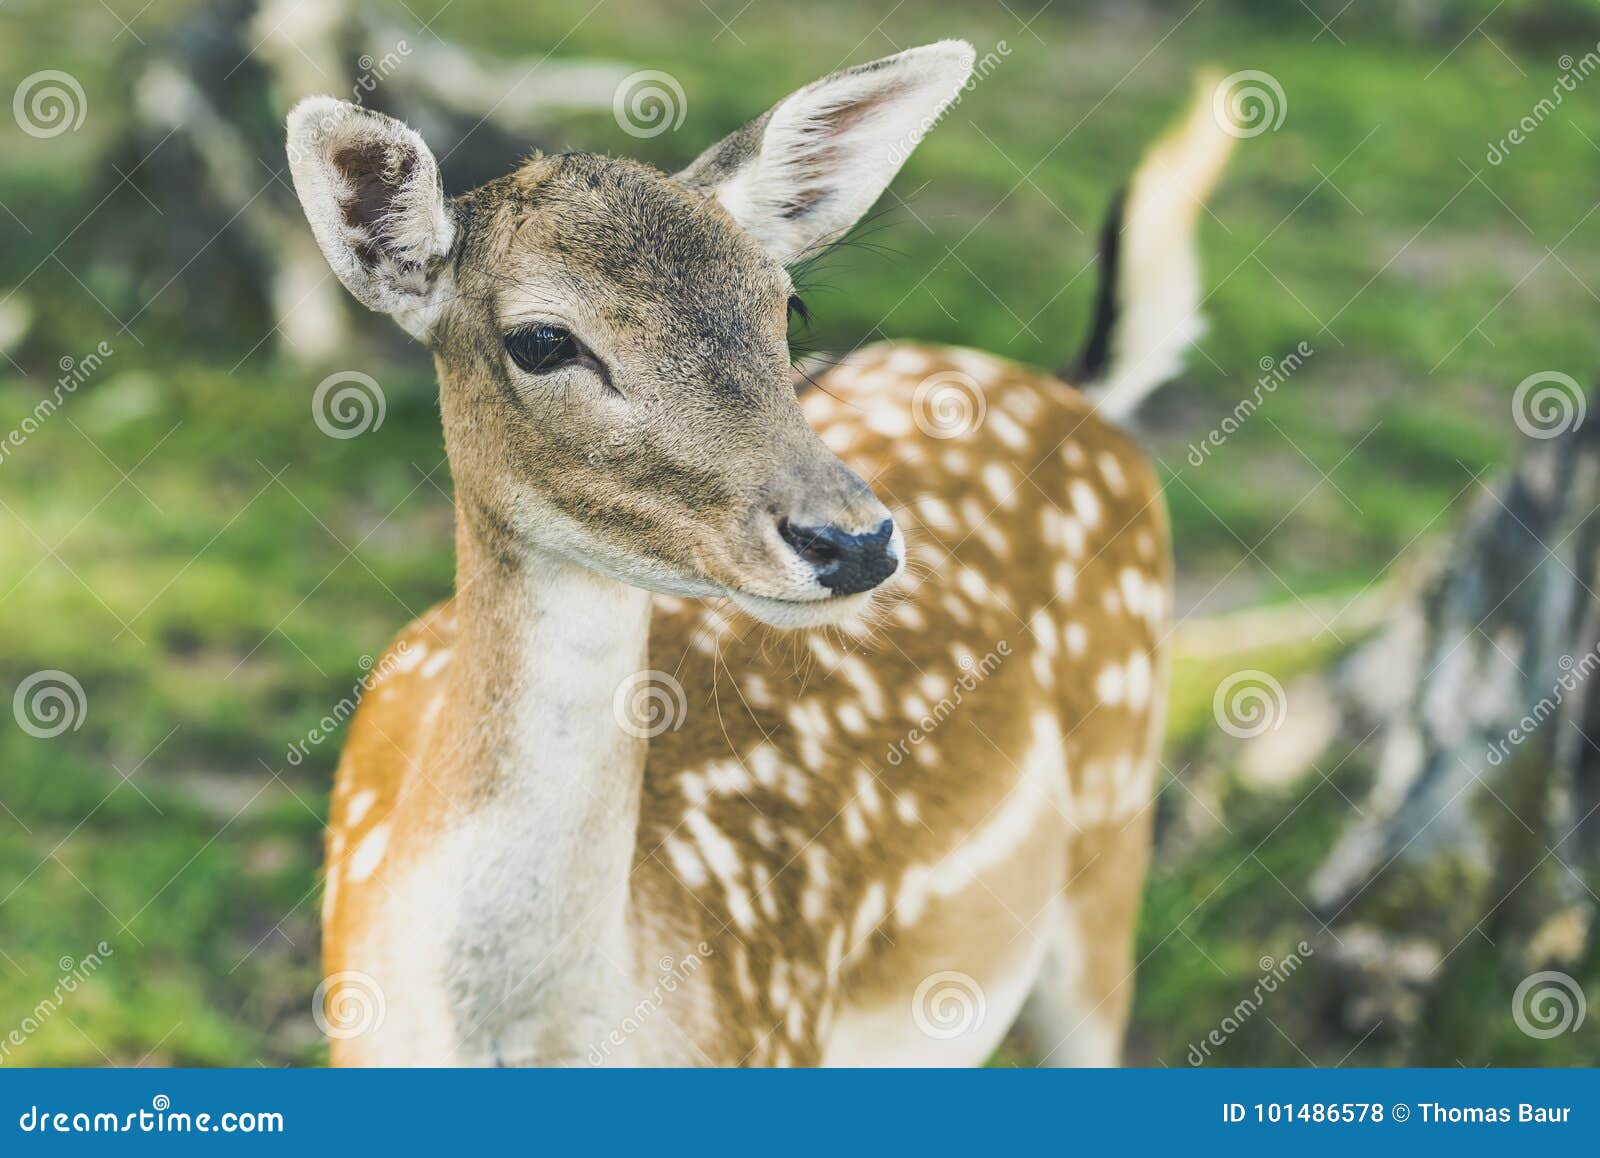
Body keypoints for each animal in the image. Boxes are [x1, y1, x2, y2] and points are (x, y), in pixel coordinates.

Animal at [286, 41, 1232, 1066]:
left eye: (789, 305)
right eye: (540, 340)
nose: (853, 539)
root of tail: (1072, 391)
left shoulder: (779, 1035)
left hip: (1115, 820)